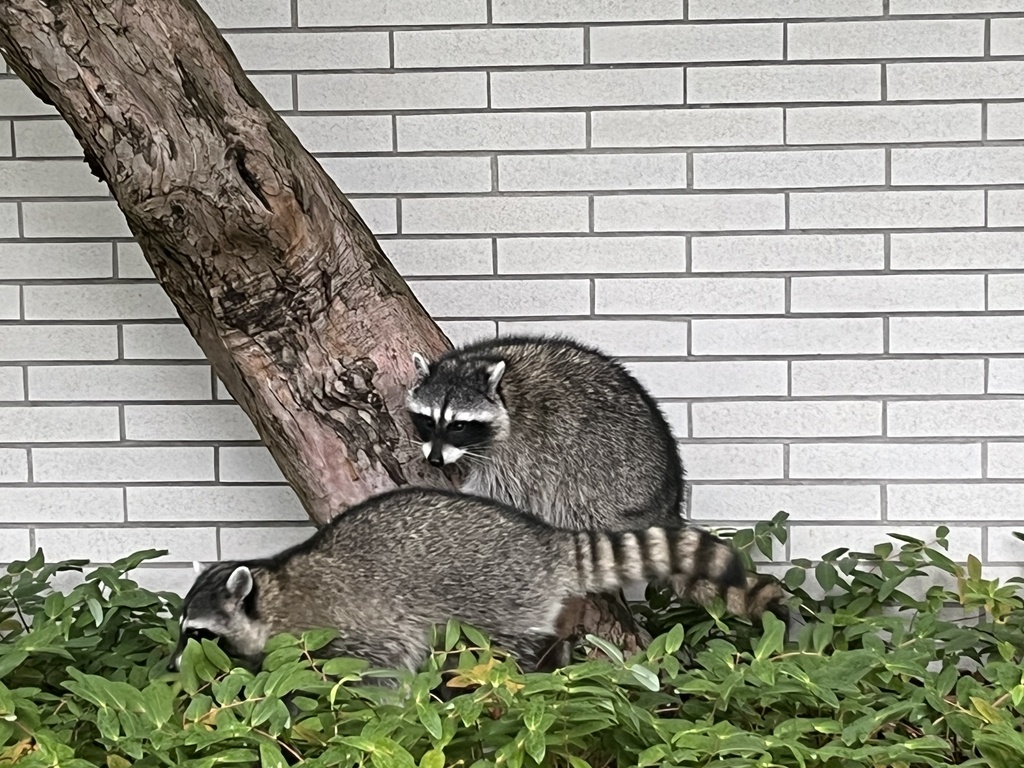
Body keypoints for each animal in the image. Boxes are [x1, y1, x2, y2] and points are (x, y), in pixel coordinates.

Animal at [168, 487, 772, 676]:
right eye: (181, 631)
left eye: (197, 634)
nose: (172, 666)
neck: (271, 589)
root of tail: (543, 543)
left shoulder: (346, 627)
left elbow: (383, 666)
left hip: (494, 594)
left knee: (505, 644)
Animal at [405, 335, 685, 533]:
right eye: (428, 421)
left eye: (459, 426)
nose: (435, 460)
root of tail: (669, 498)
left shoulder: (520, 452)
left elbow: (499, 494)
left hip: (609, 484)